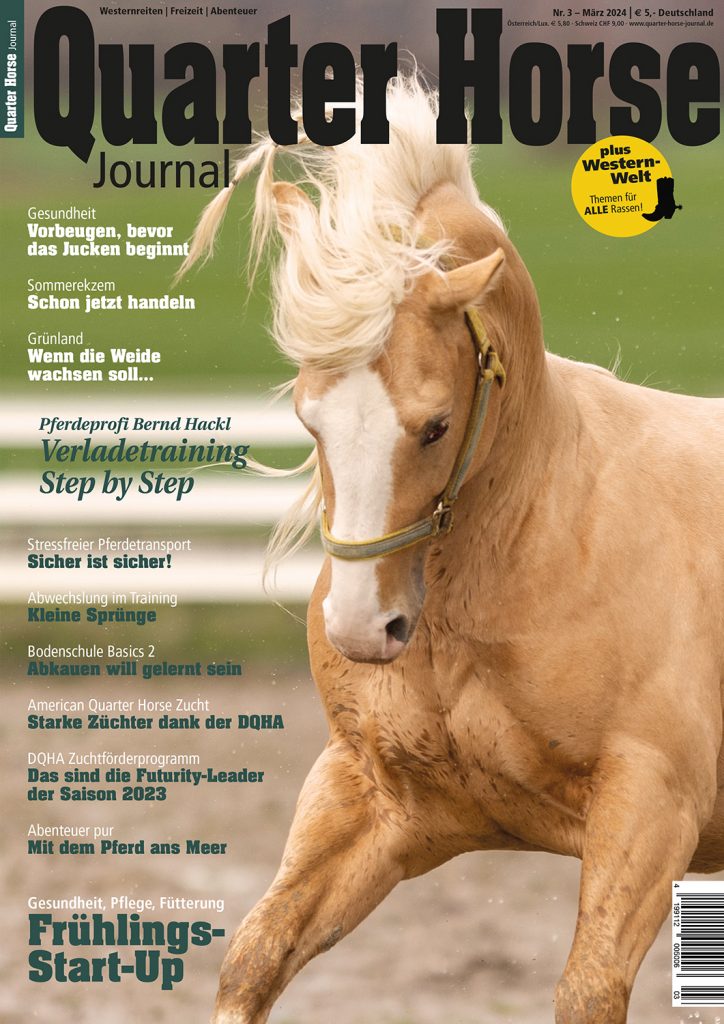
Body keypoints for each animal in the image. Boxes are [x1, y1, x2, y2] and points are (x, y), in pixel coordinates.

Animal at [182, 78, 724, 1024]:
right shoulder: (372, 801)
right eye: (310, 421)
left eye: (434, 425)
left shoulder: (651, 811)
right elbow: (253, 957)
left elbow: (587, 990)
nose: (364, 630)